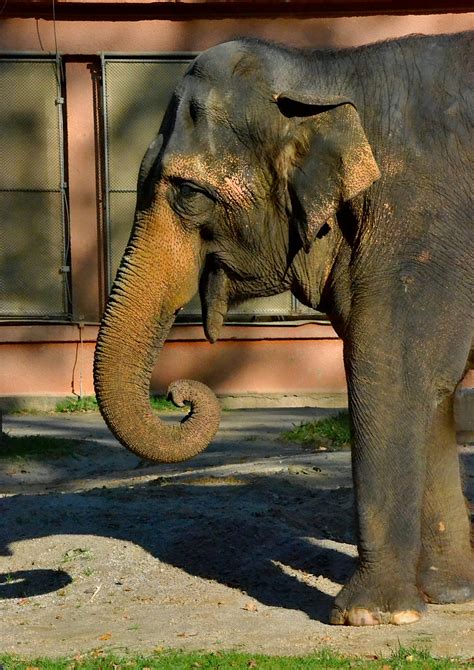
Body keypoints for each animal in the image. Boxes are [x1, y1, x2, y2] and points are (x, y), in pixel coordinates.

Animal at [94, 32, 473, 626]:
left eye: (189, 194)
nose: (179, 394)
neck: (327, 71)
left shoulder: (420, 223)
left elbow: (392, 369)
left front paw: (367, 616)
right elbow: (434, 383)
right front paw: (447, 596)